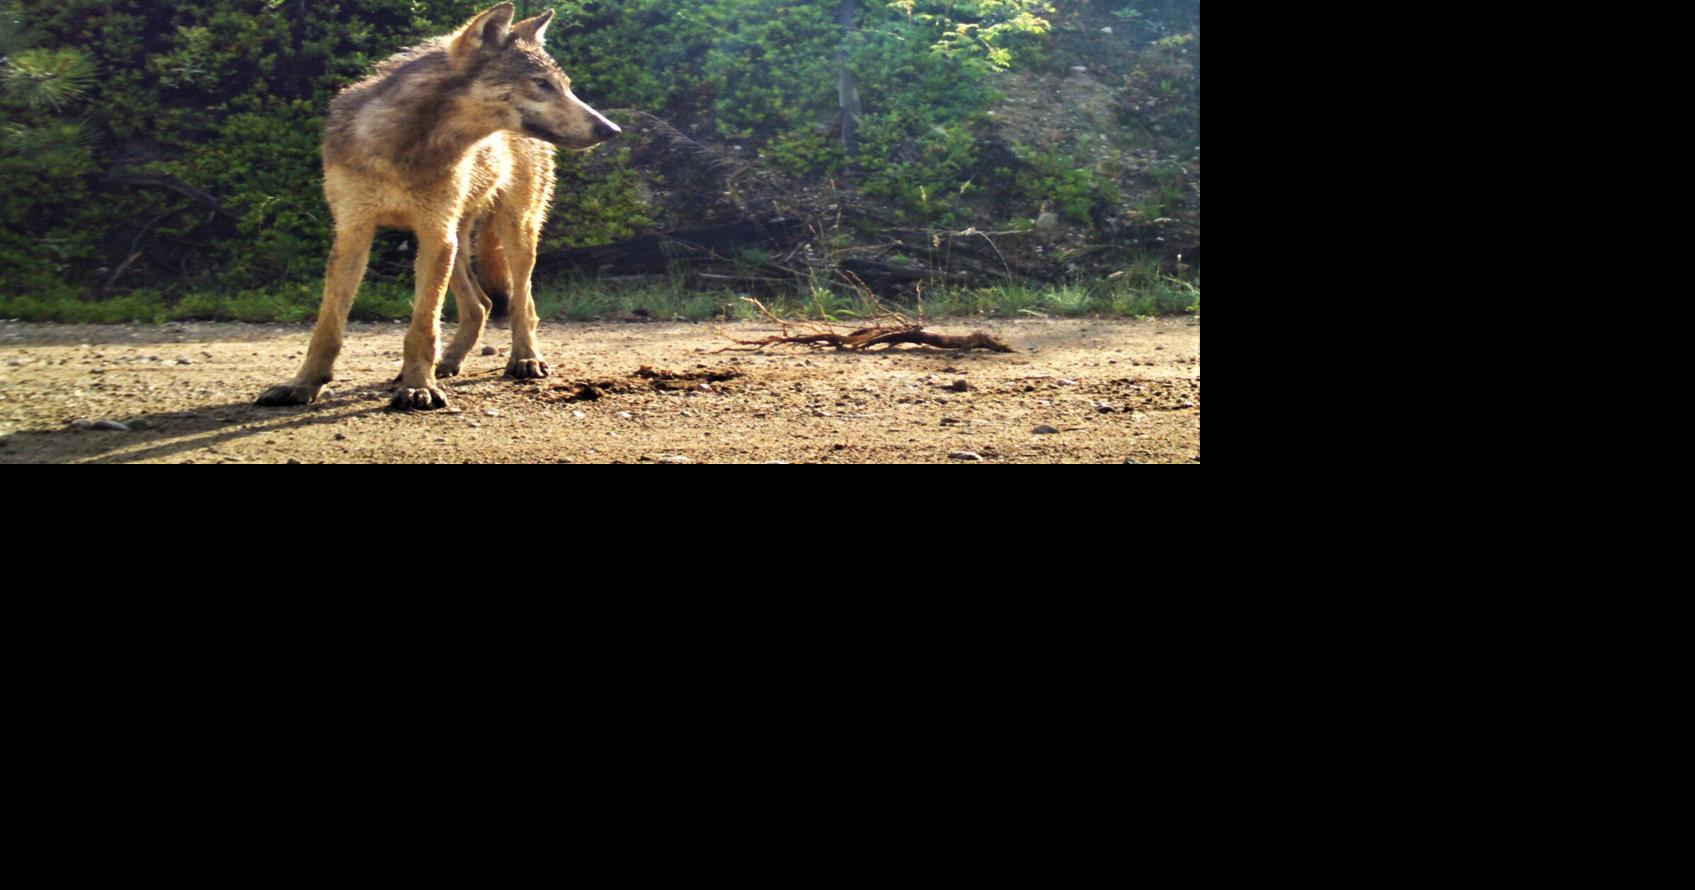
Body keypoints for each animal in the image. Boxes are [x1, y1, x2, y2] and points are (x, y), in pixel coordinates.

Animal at [257, 3, 620, 411]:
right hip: (457, 243)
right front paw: (302, 385)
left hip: (513, 234)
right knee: (481, 305)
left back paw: (525, 359)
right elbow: (328, 326)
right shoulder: (354, 232)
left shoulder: (434, 232)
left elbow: (423, 325)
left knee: (521, 303)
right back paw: (447, 363)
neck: (405, 149)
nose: (612, 129)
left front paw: (418, 388)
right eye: (541, 83)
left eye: (565, 85)